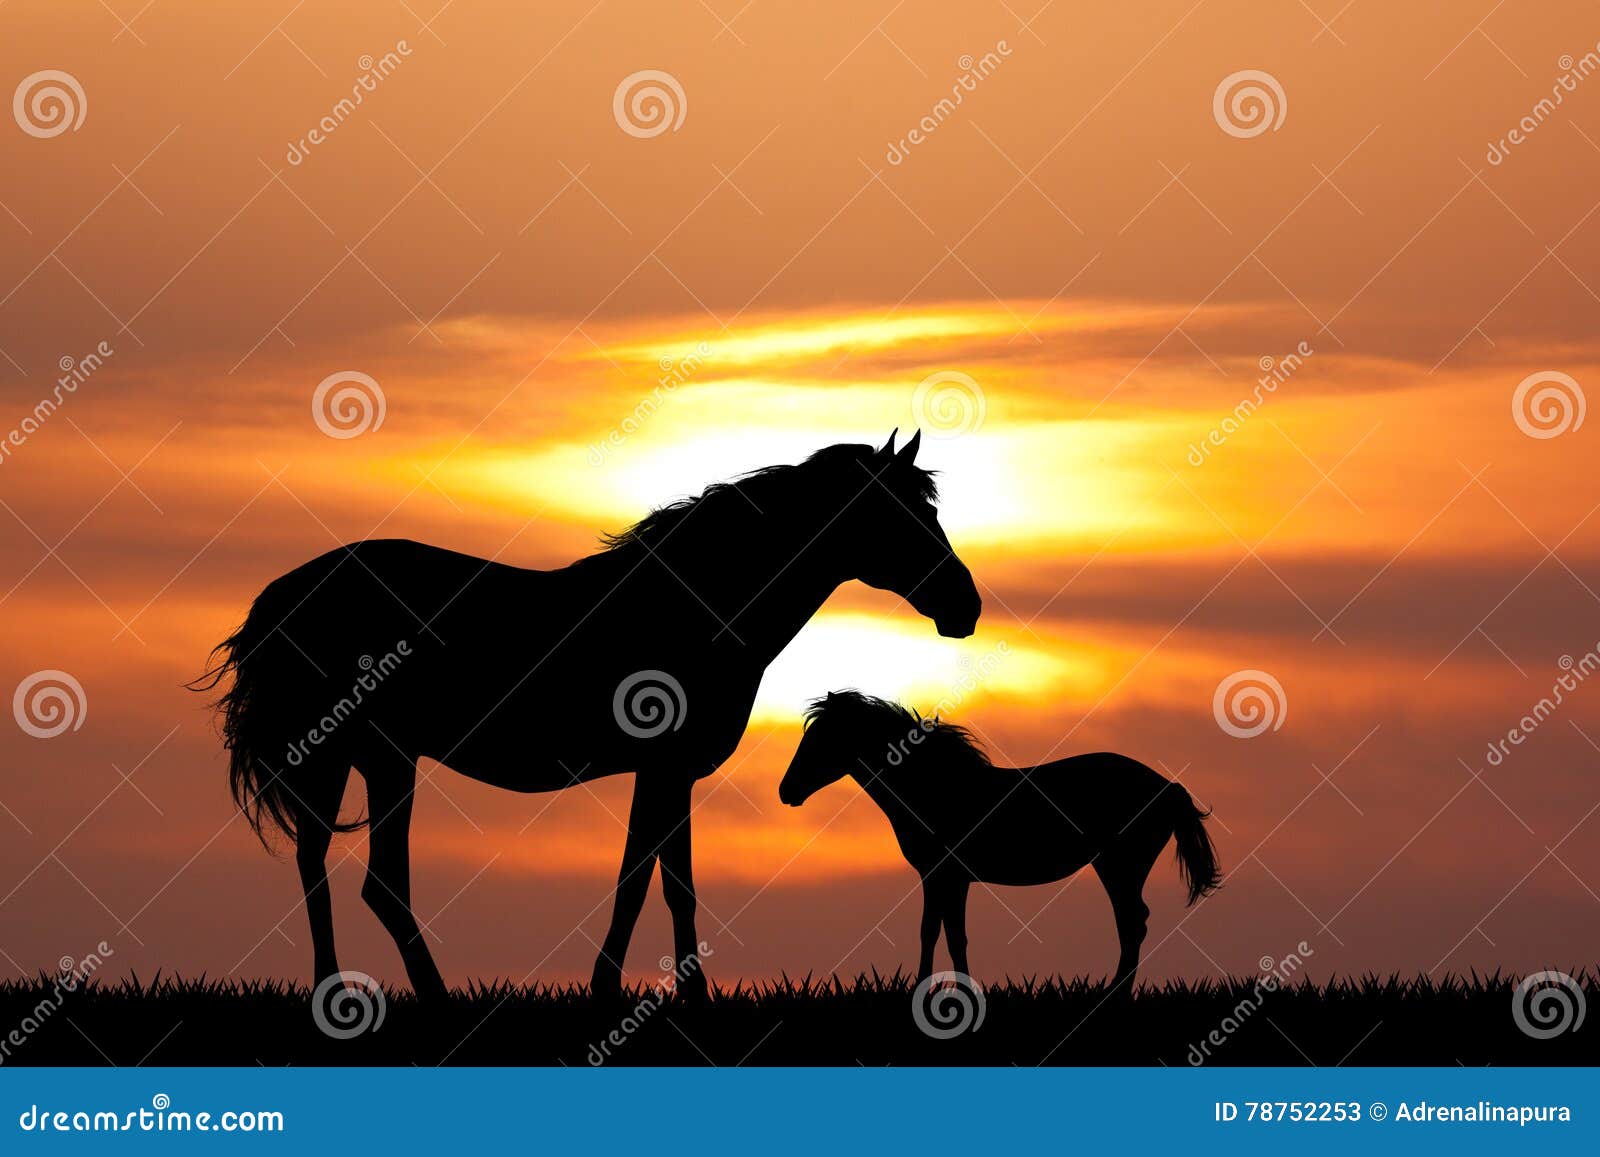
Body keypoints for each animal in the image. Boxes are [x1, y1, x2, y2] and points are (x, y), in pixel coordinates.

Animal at [193, 432, 981, 1003]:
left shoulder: (667, 774)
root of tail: (290, 593)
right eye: (904, 516)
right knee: (374, 880)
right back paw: (426, 999)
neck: (698, 607)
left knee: (323, 867)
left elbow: (659, 881)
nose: (965, 606)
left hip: (350, 759)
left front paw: (657, 992)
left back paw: (342, 991)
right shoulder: (663, 768)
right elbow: (651, 883)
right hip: (372, 757)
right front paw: (642, 993)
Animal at [777, 691, 1221, 993]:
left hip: (1119, 867)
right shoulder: (947, 879)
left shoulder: (944, 876)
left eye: (820, 739)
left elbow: (940, 933)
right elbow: (945, 934)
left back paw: (1115, 995)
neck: (934, 788)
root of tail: (1168, 786)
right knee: (1133, 922)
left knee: (1131, 922)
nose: (786, 791)